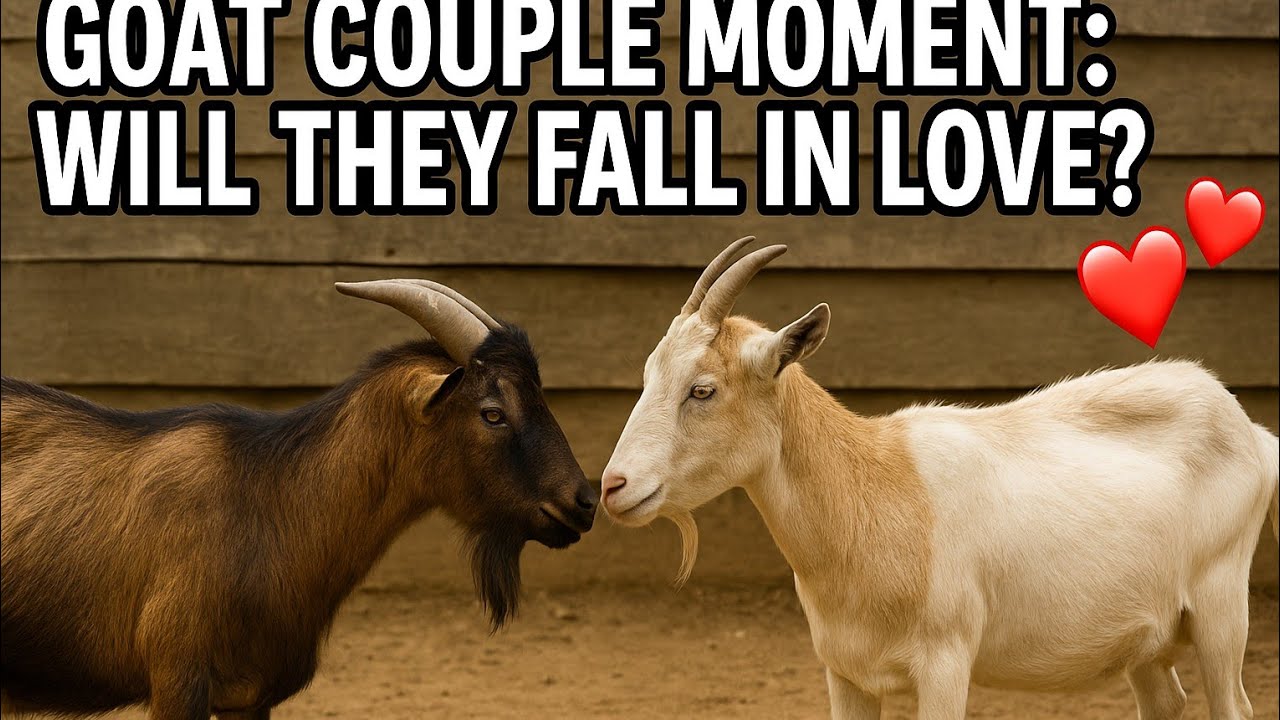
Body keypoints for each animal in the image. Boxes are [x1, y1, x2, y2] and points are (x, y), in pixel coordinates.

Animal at [601, 237, 1280, 720]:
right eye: (648, 373)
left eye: (703, 389)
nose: (614, 487)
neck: (873, 490)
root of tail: (1251, 431)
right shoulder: (844, 673)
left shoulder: (945, 665)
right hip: (1146, 637)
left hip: (1222, 608)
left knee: (1233, 704)